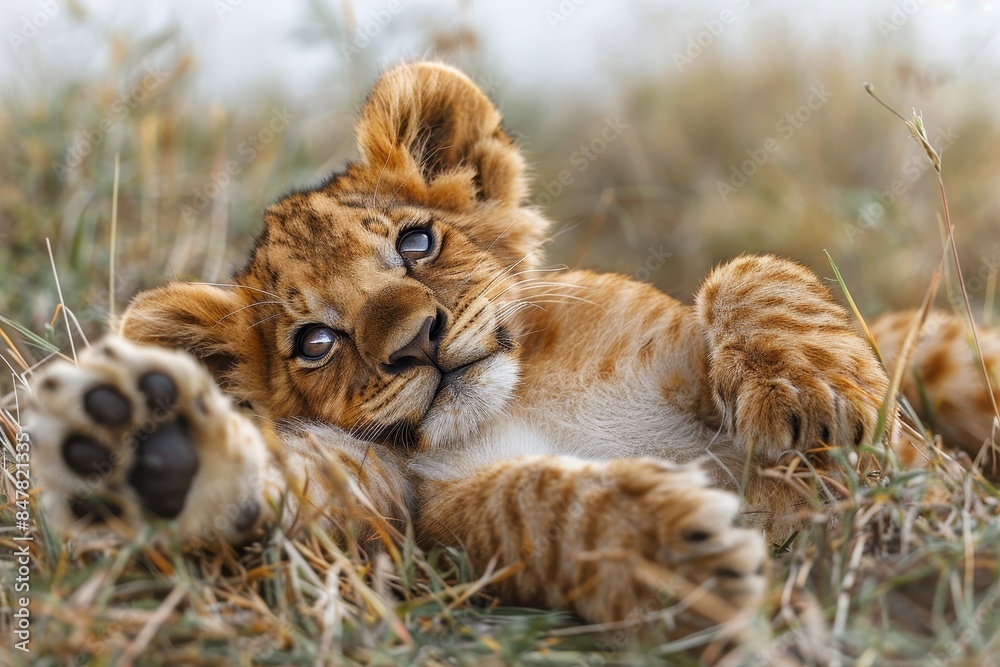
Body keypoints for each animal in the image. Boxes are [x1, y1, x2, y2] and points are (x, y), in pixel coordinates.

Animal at [25, 61, 1000, 635]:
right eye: (316, 340)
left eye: (416, 243)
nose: (416, 342)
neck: (524, 391)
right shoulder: (422, 514)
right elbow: (540, 507)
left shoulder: (687, 333)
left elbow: (749, 272)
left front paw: (815, 394)